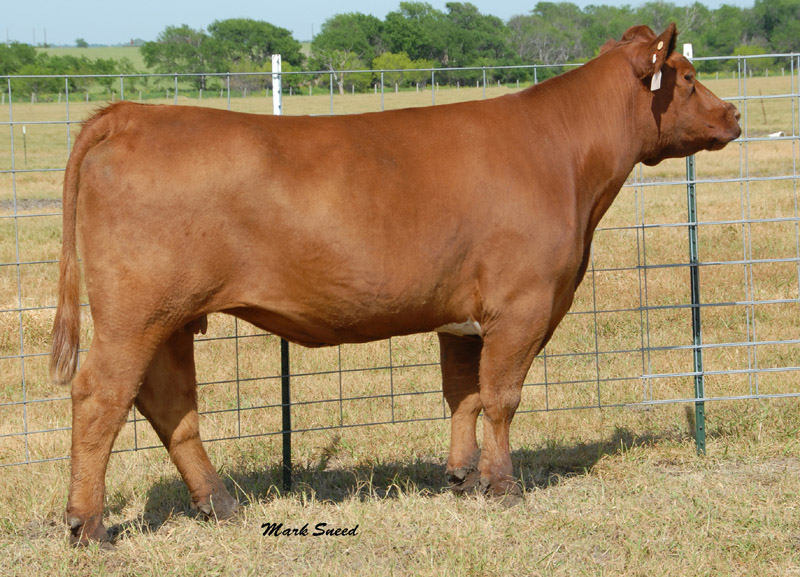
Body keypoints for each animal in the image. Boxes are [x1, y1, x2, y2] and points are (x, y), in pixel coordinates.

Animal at [51, 24, 740, 545]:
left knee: (168, 404)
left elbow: (464, 394)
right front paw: (504, 486)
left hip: (169, 319)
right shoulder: (523, 305)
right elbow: (502, 397)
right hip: (134, 313)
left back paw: (220, 504)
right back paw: (88, 526)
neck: (566, 160)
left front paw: (462, 478)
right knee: (100, 396)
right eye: (684, 75)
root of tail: (132, 114)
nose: (734, 113)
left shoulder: (464, 317)